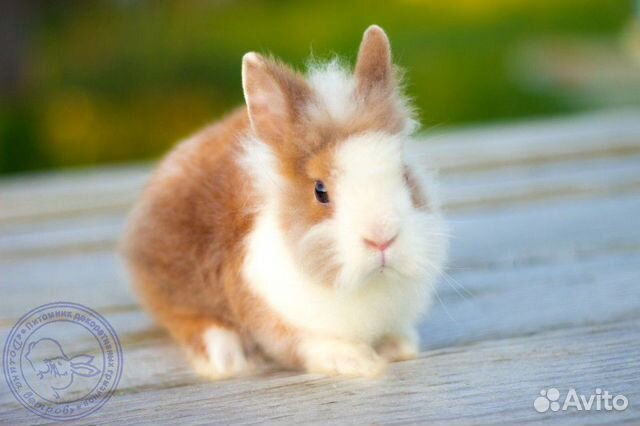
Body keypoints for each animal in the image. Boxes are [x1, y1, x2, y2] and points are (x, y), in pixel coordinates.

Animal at [122, 25, 448, 380]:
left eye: (404, 174)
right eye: (320, 190)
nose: (382, 237)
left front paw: (399, 347)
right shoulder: (275, 319)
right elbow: (310, 346)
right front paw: (359, 362)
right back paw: (226, 359)